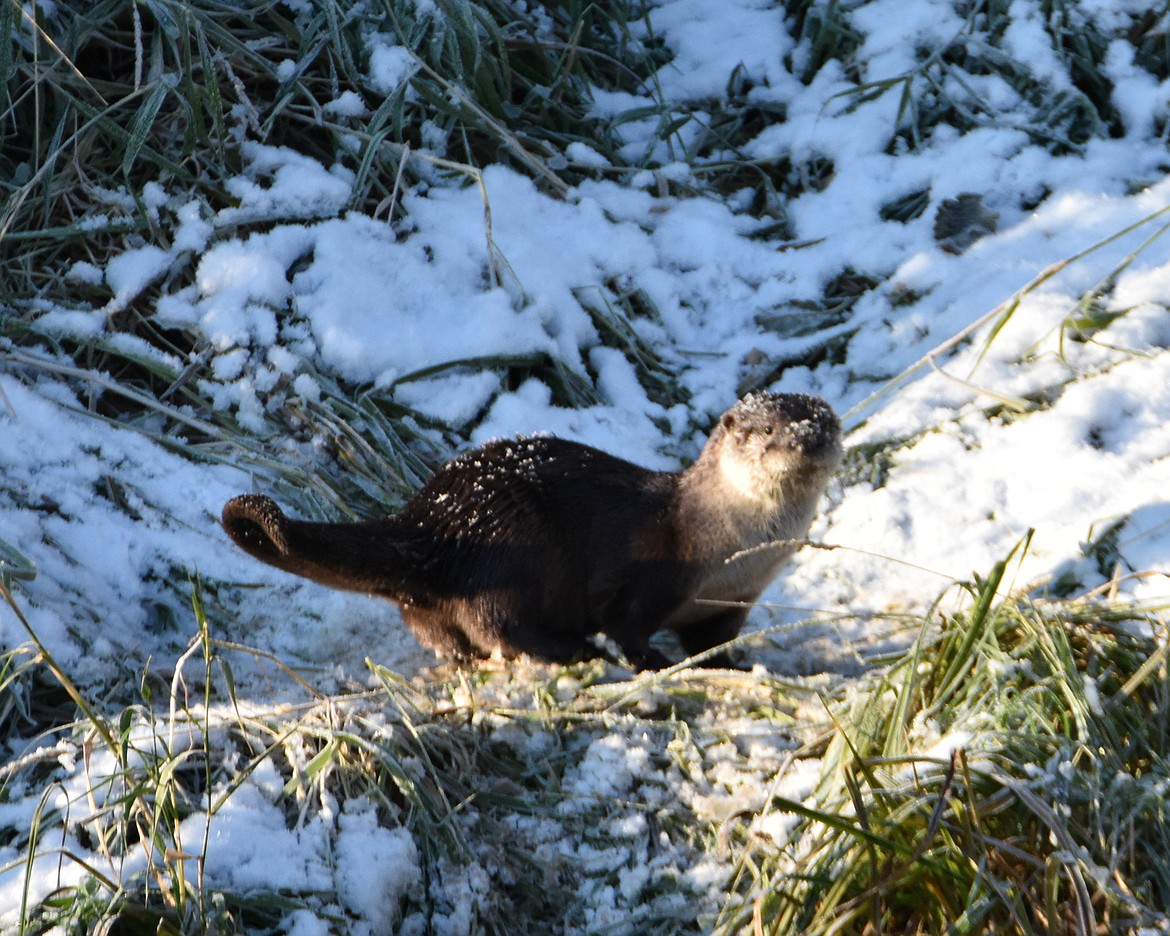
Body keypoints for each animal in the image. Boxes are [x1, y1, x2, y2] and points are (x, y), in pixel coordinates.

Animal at [222, 392, 841, 670]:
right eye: (767, 429)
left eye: (826, 421)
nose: (808, 437)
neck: (735, 550)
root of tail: (429, 520)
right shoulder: (651, 574)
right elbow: (628, 626)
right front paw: (654, 663)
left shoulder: (731, 602)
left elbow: (714, 642)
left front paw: (731, 663)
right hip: (518, 548)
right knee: (498, 622)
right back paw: (570, 648)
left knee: (433, 624)